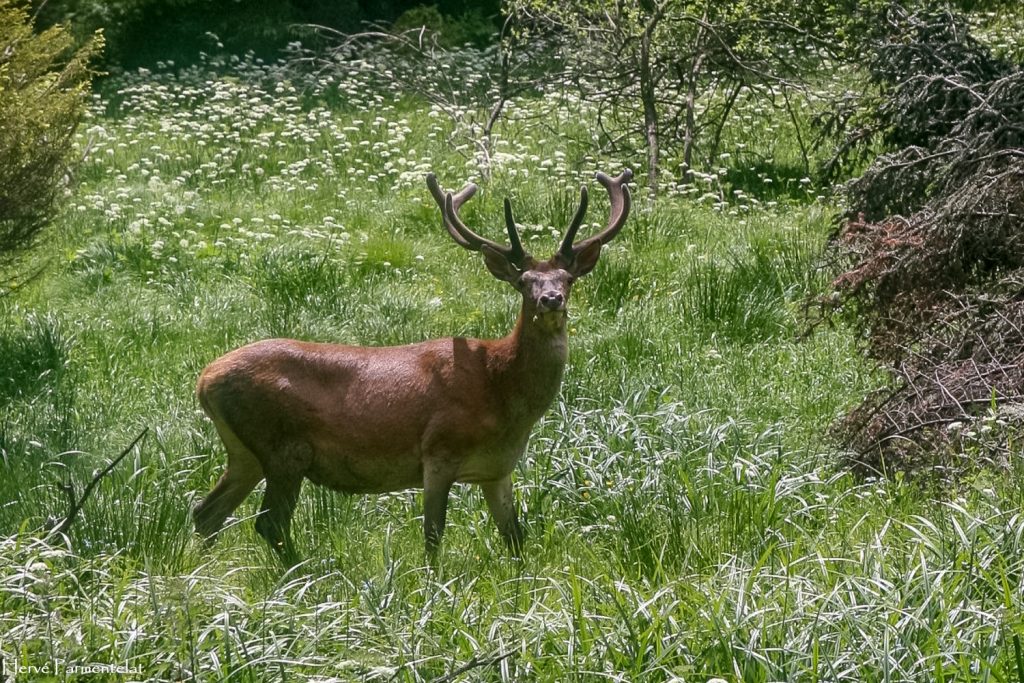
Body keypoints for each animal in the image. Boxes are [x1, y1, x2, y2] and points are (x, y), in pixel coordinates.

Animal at [191, 169, 632, 561]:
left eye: (567, 279)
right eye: (524, 283)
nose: (551, 300)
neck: (500, 391)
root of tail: (204, 381)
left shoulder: (498, 469)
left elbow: (515, 537)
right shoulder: (437, 449)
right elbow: (433, 534)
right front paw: (434, 588)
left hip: (245, 453)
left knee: (206, 512)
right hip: (283, 446)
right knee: (270, 523)